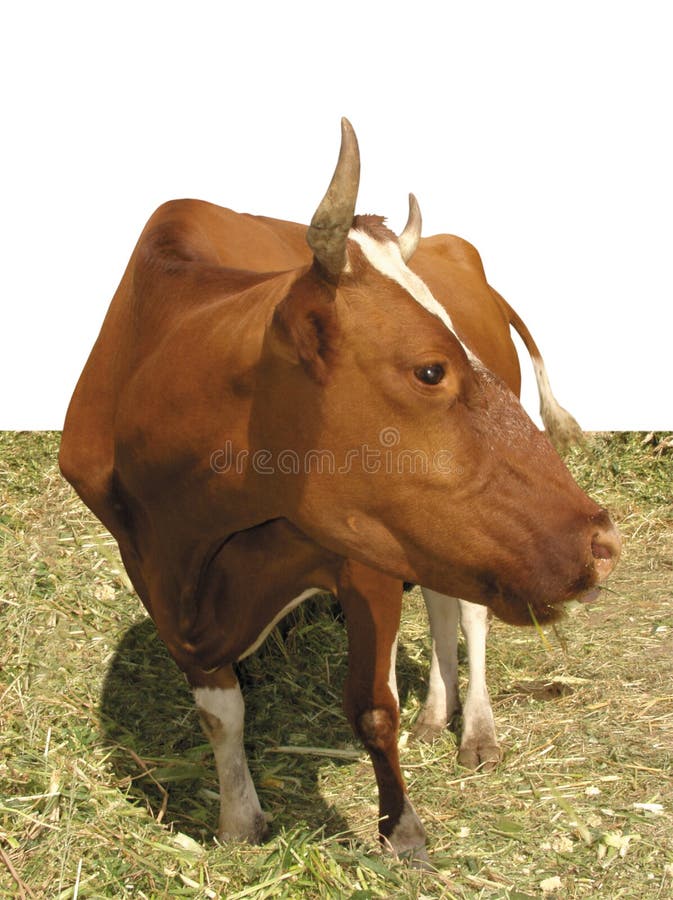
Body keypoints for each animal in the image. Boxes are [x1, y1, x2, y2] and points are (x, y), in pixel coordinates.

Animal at [59, 119, 620, 862]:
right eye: (430, 369)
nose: (604, 541)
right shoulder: (147, 566)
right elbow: (219, 714)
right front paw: (238, 821)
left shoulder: (366, 559)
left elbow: (373, 707)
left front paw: (403, 832)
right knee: (446, 600)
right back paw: (436, 713)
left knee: (469, 614)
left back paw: (473, 725)